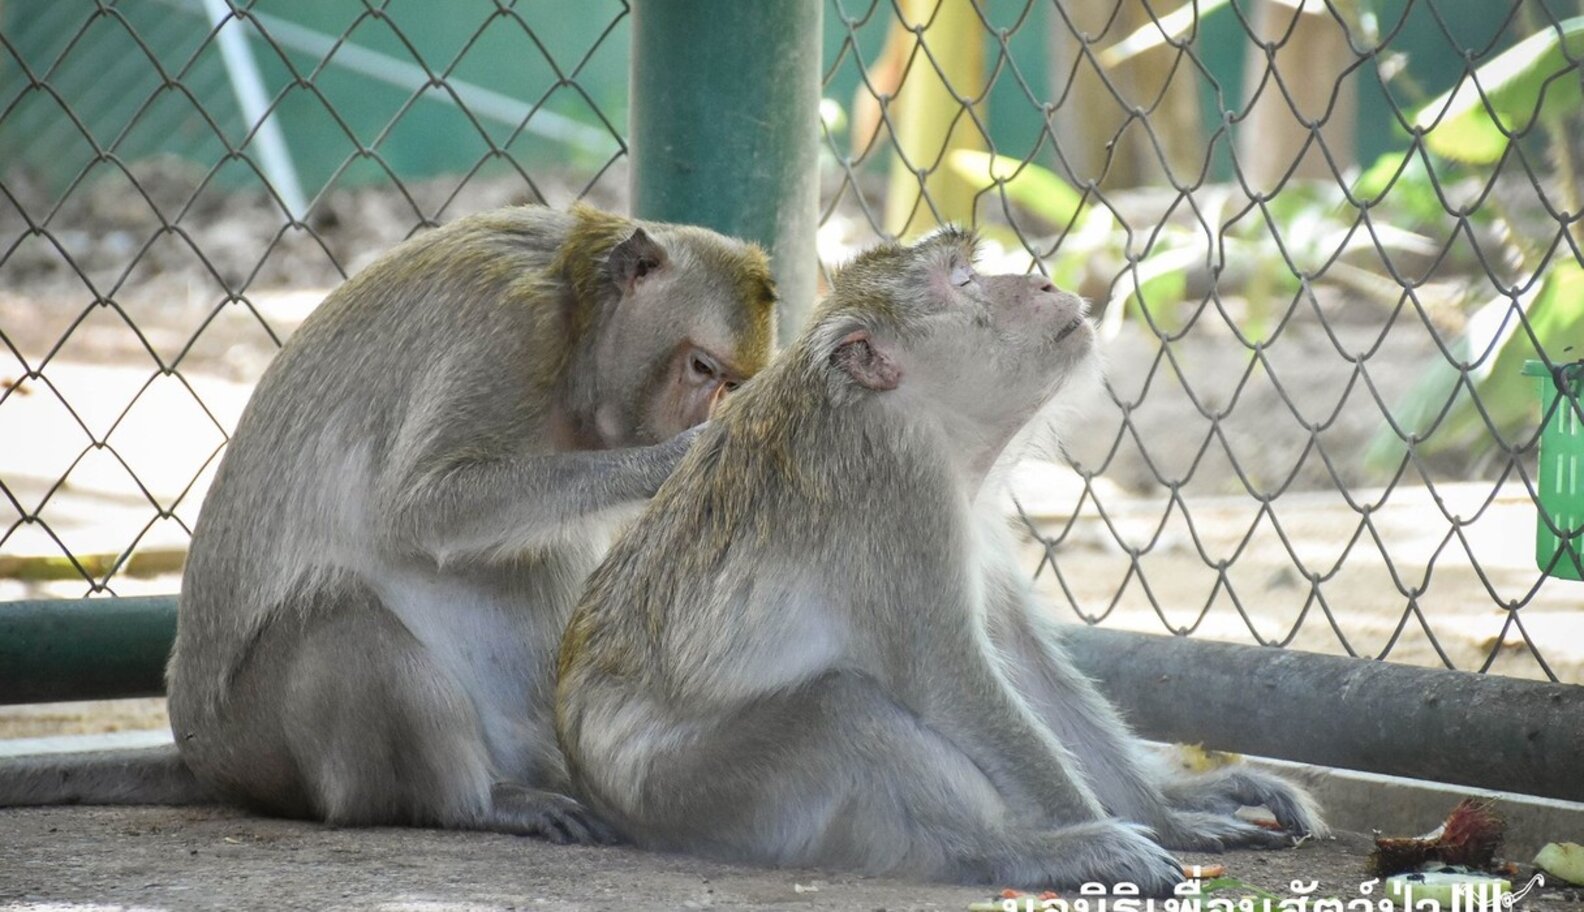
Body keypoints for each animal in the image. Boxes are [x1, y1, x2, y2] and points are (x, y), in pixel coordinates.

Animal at [0, 204, 776, 844]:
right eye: (701, 367)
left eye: (736, 380)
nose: (716, 410)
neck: (579, 323)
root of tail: (204, 756)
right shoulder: (506, 333)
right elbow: (420, 504)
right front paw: (667, 461)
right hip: (263, 744)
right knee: (342, 623)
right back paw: (474, 805)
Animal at [555, 228, 1326, 892]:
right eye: (963, 281)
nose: (1044, 281)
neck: (919, 420)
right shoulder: (901, 486)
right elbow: (949, 676)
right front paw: (1099, 830)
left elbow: (1027, 661)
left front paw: (1174, 810)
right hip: (690, 788)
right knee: (841, 709)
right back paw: (1020, 850)